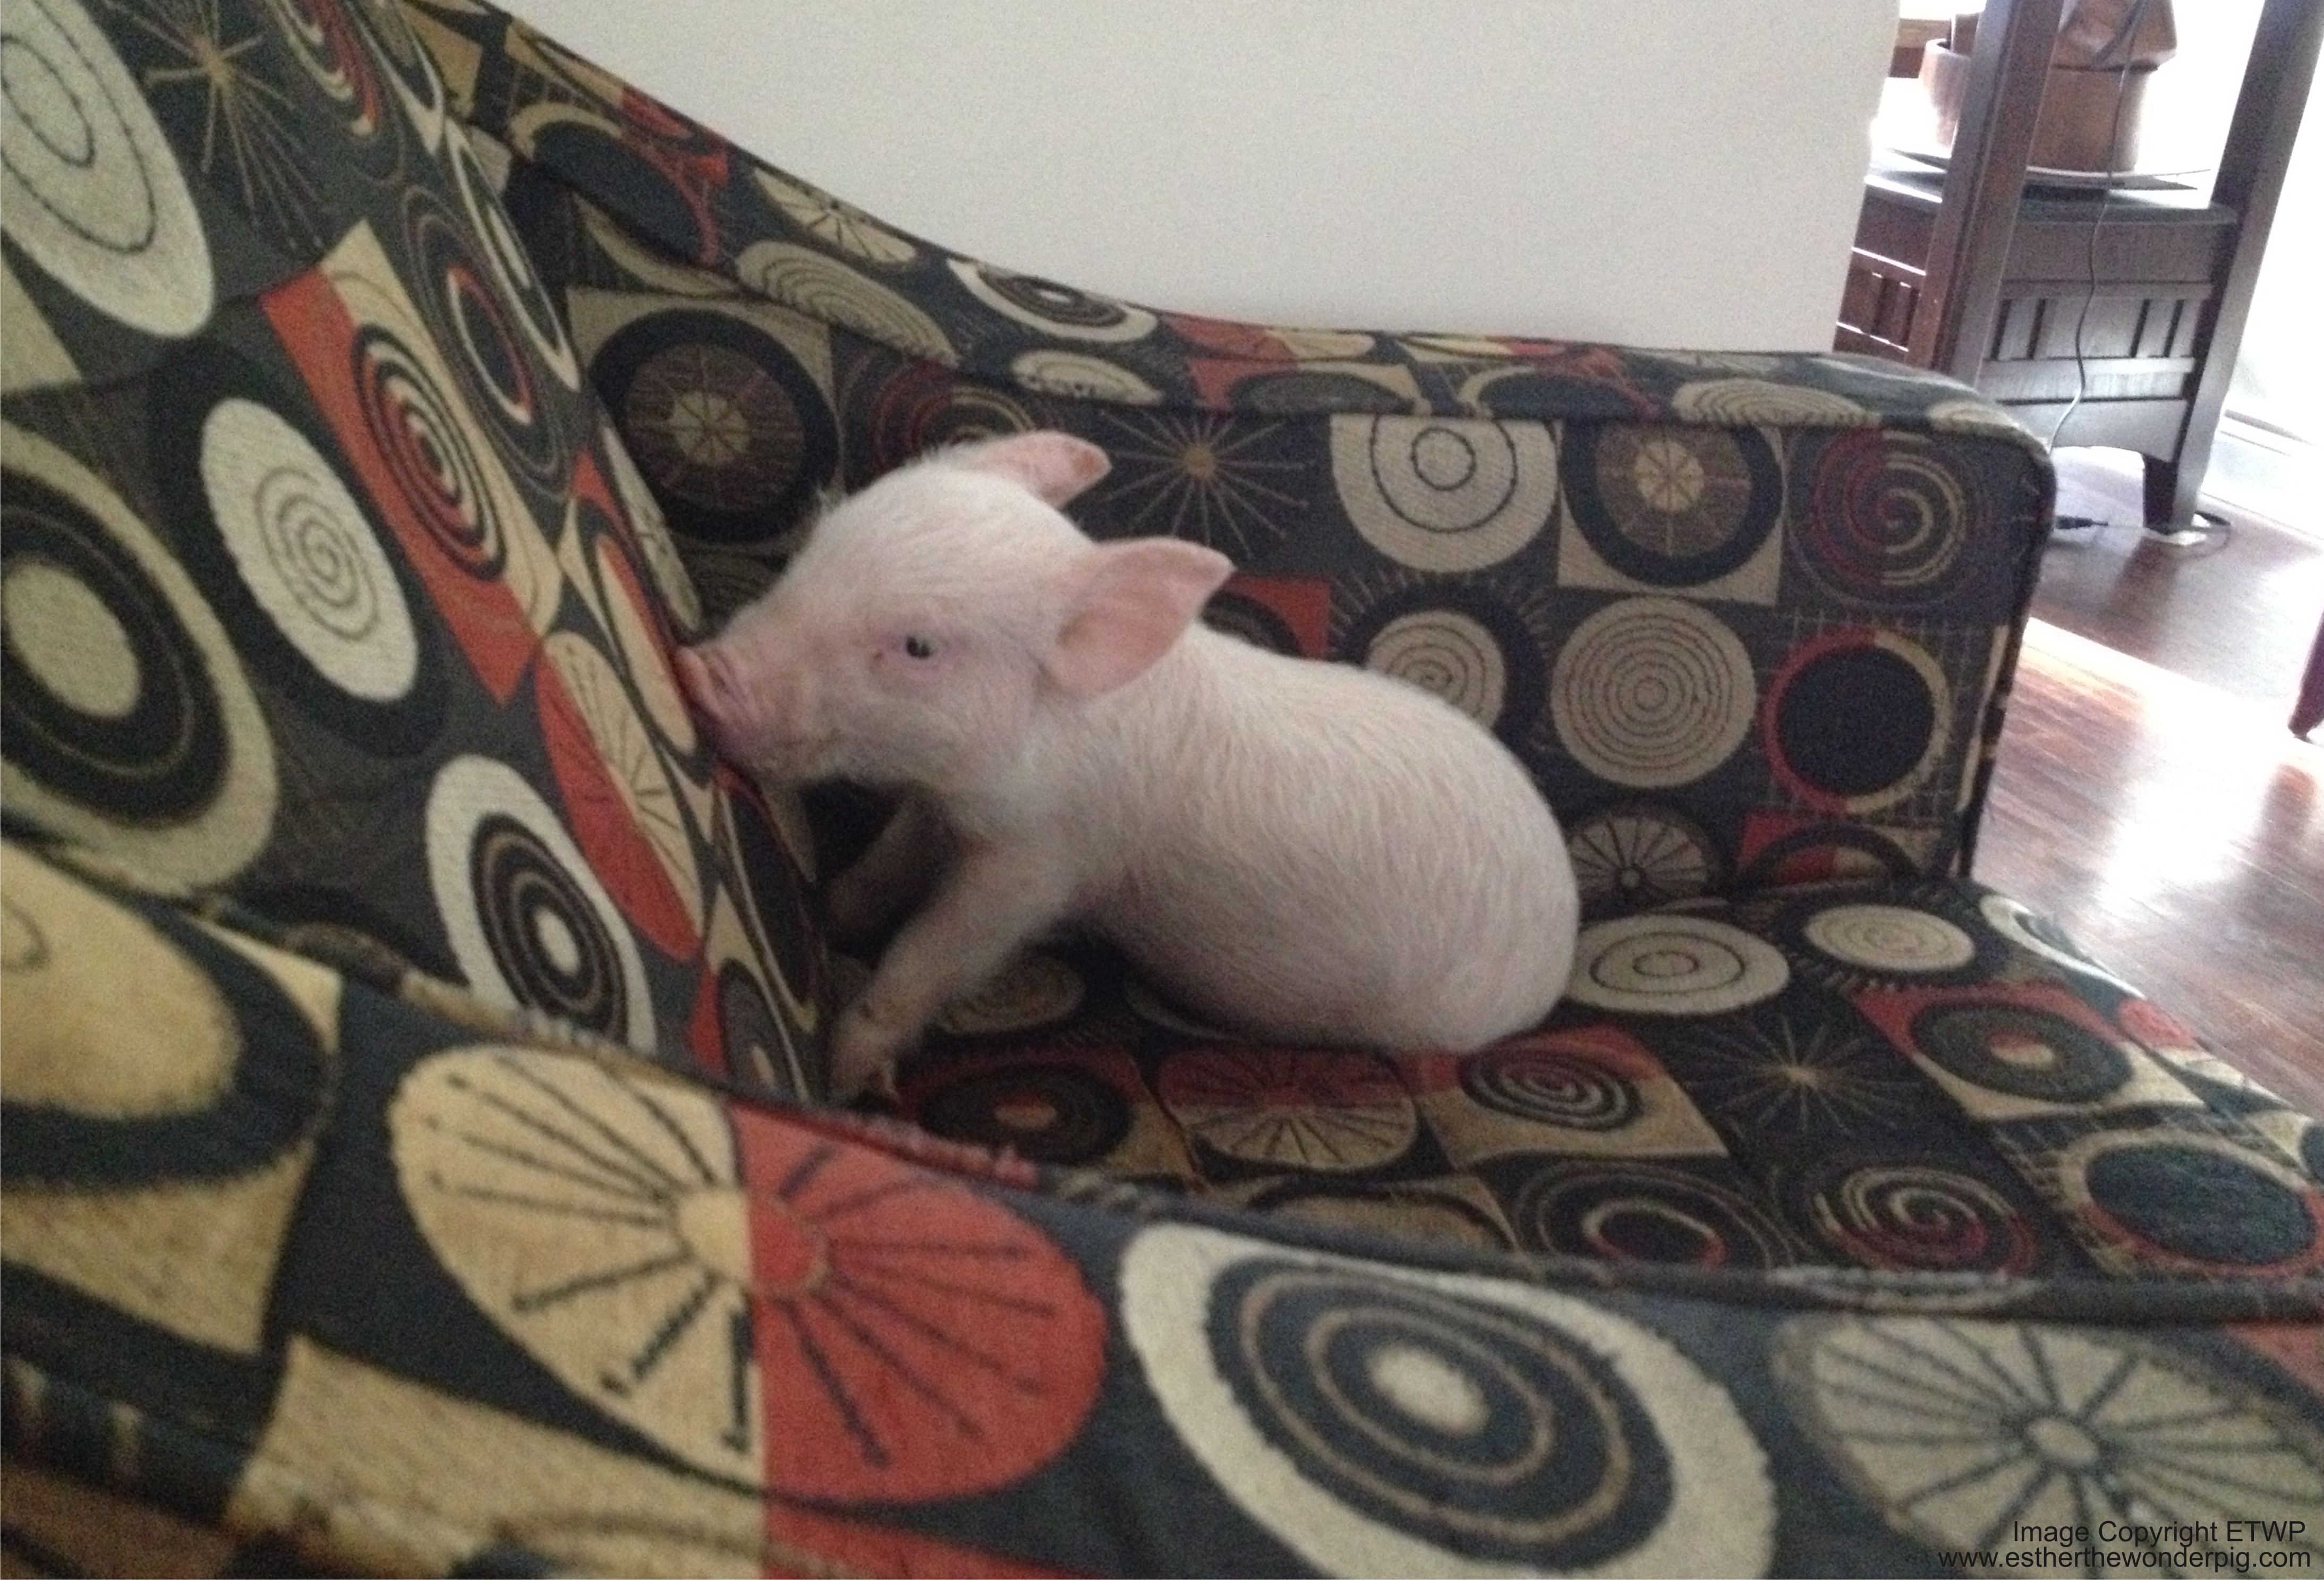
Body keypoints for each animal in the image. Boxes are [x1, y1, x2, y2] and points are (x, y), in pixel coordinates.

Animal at [674, 431, 1579, 1098]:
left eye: (918, 646)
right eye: (817, 540)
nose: (699, 670)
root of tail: (1558, 944)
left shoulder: (1042, 860)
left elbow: (943, 943)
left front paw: (848, 1071)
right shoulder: (943, 803)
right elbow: (886, 863)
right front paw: (834, 911)